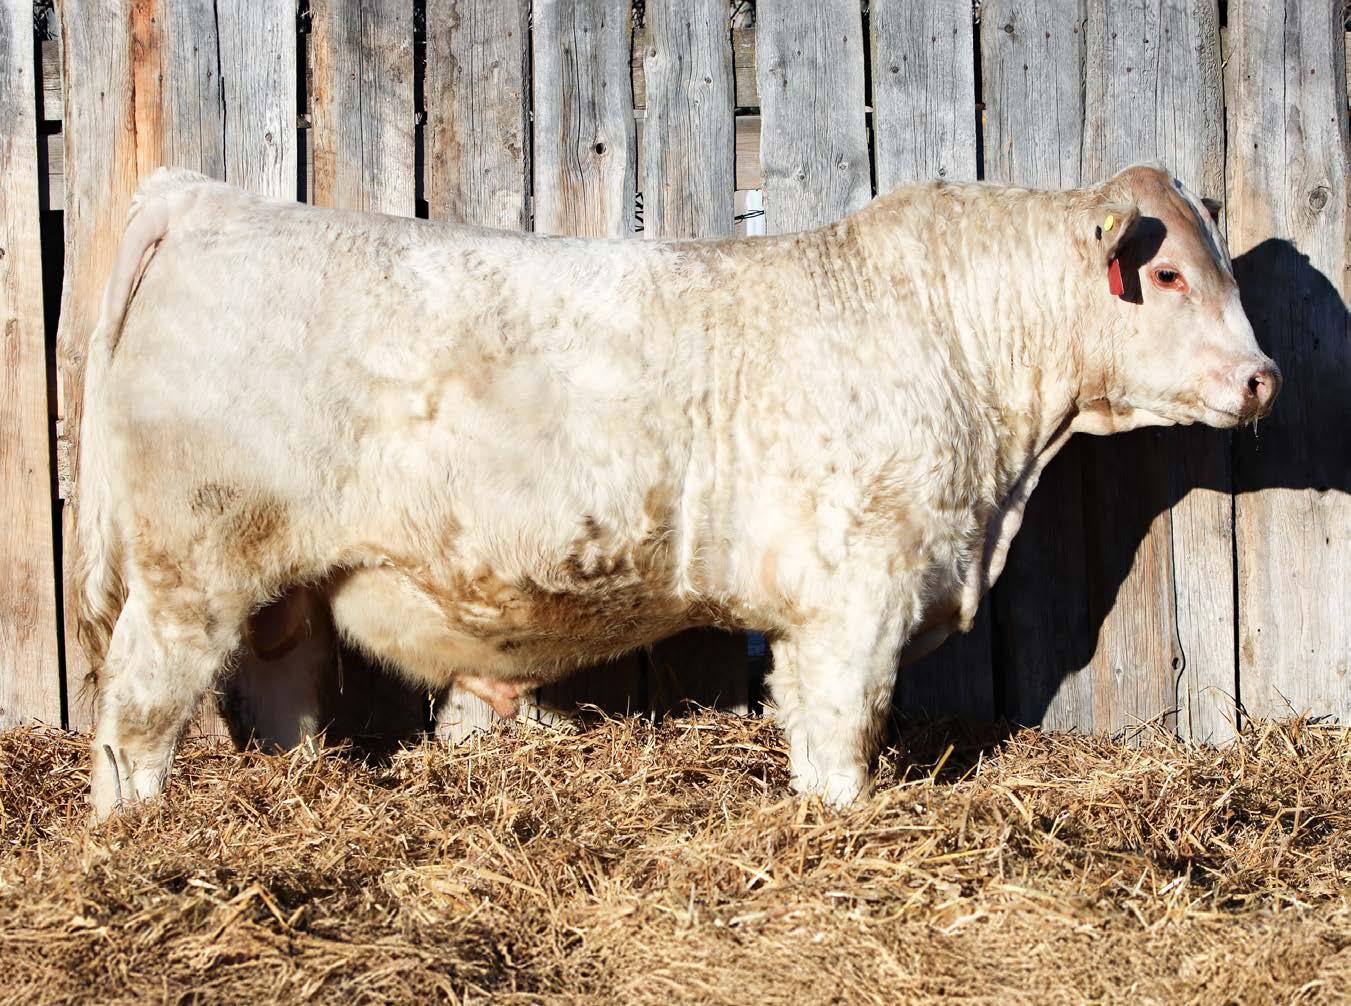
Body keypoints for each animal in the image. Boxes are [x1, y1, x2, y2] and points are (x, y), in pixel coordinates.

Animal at [76, 163, 1279, 819]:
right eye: (1168, 273)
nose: (1263, 377)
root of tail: (202, 199)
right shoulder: (857, 598)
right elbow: (842, 730)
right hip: (190, 570)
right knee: (137, 713)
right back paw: (135, 829)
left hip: (279, 580)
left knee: (279, 692)